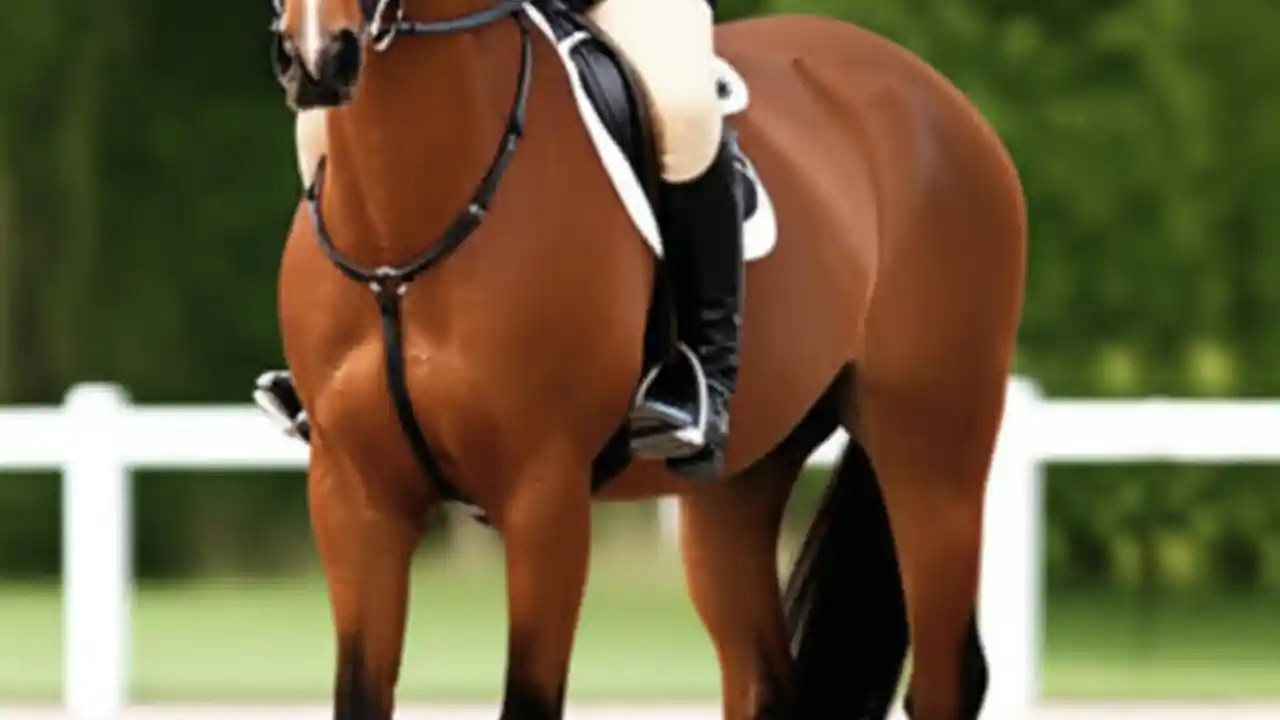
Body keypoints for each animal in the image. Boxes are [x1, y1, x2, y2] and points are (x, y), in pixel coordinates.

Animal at [265, 0, 1026, 717]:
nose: (317, 58)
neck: (401, 234)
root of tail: (935, 92)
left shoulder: (545, 493)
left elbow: (530, 699)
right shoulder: (354, 495)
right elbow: (359, 695)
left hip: (932, 461)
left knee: (947, 680)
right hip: (735, 486)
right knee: (764, 682)